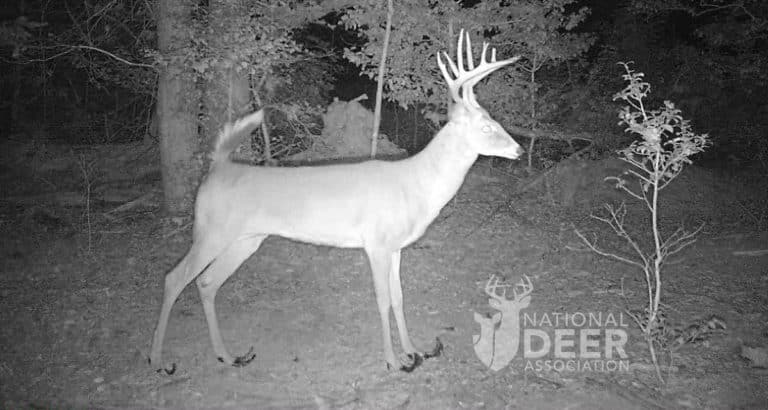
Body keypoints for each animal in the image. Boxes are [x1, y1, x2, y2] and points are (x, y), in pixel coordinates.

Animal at [148, 29, 523, 374]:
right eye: (487, 127)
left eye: (494, 120)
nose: (518, 149)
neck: (415, 184)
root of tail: (217, 166)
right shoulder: (375, 243)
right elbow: (383, 299)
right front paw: (392, 361)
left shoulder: (396, 247)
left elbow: (399, 298)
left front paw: (414, 352)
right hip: (211, 231)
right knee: (174, 277)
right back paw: (159, 360)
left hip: (246, 239)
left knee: (206, 283)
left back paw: (227, 355)